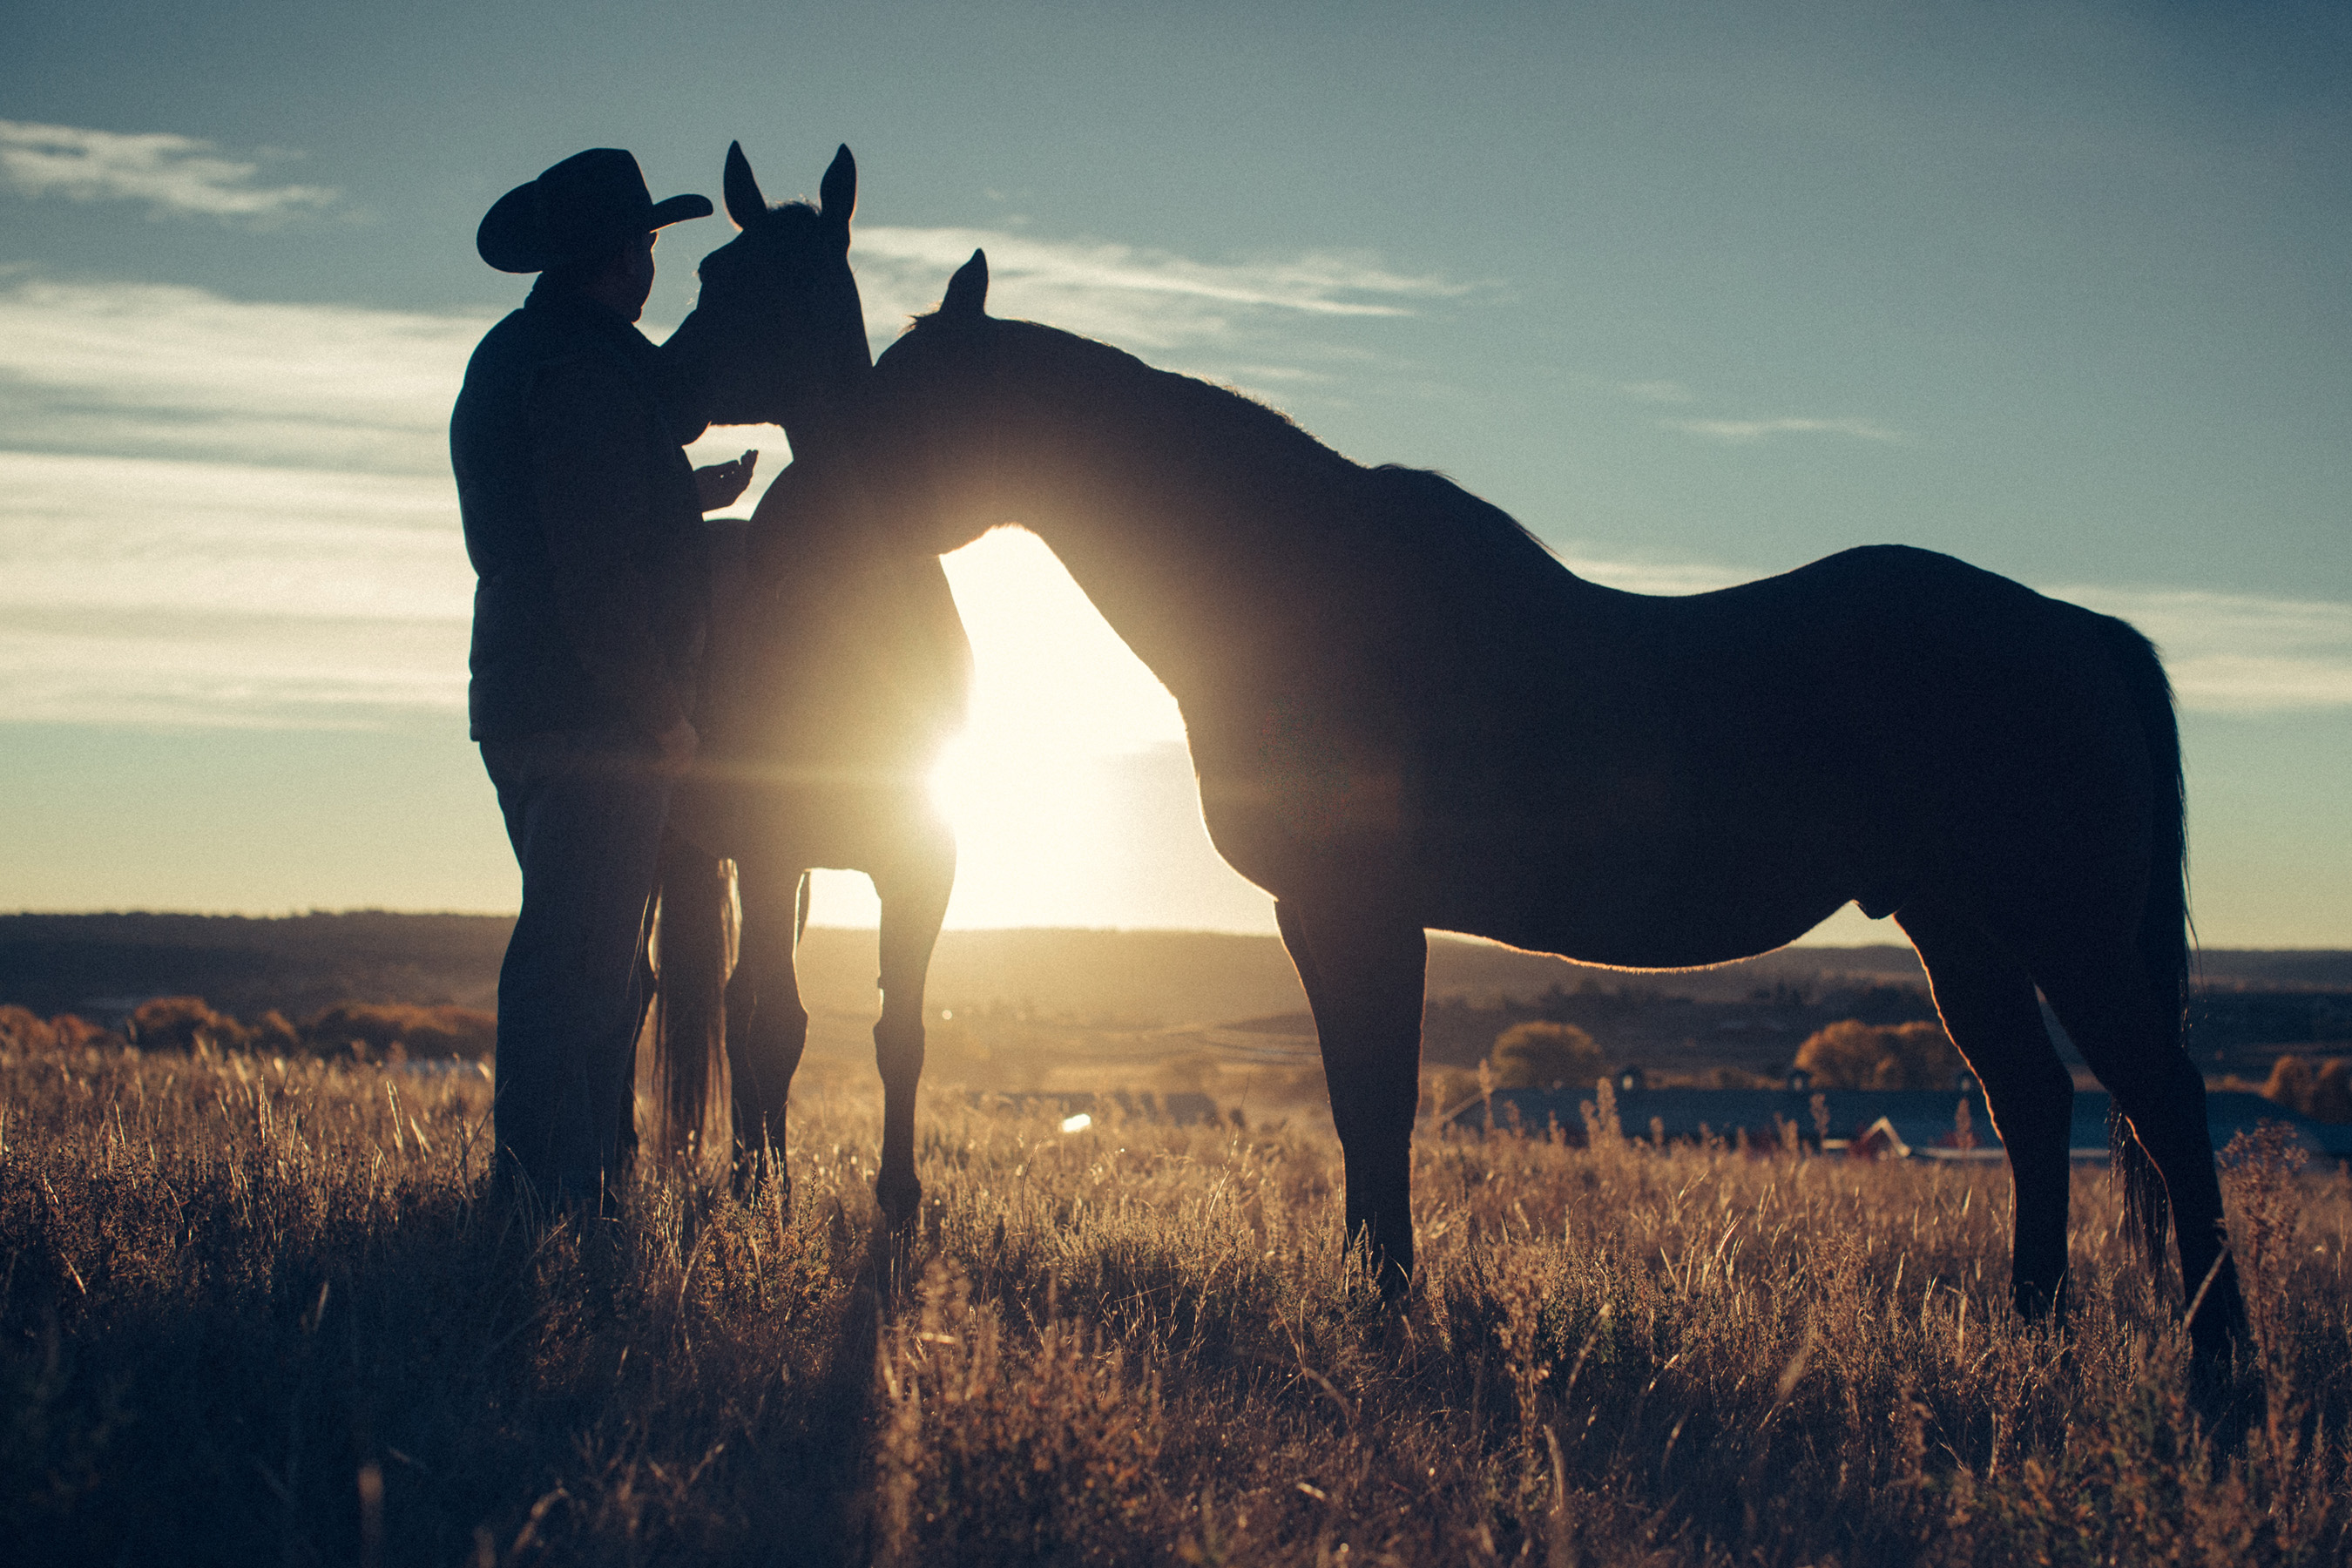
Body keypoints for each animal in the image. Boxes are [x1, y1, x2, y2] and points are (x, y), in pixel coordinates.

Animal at [647, 142, 971, 1224]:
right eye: (710, 273)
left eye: (774, 285)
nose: (658, 384)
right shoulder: (773, 846)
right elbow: (775, 1024)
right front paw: (762, 1195)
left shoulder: (920, 864)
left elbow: (898, 1033)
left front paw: (900, 1195)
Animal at [762, 249, 2252, 1370]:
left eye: (902, 402)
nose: (791, 517)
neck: (1301, 601)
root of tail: (2085, 633)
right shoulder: (1330, 920)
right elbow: (1361, 1107)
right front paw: (1374, 1294)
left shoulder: (1357, 913)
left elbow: (1378, 1105)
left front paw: (1383, 1306)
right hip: (1959, 926)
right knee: (2033, 1102)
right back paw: (2038, 1335)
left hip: (2058, 929)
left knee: (2164, 1106)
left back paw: (2215, 1370)